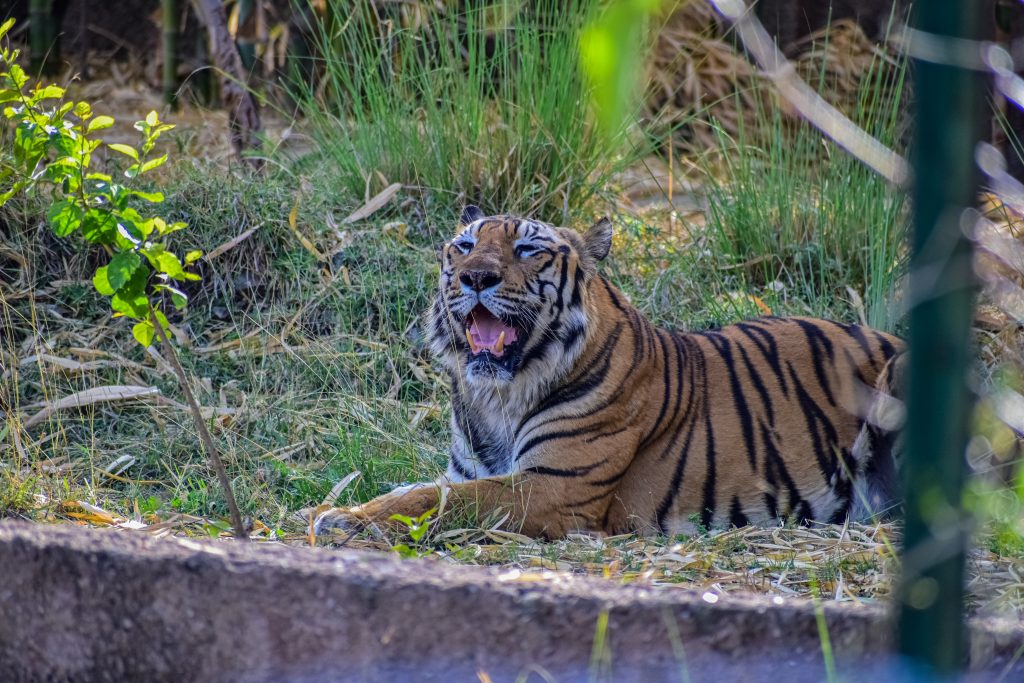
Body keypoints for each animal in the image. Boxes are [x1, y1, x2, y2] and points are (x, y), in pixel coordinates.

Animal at [315, 207, 906, 539]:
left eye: (526, 249)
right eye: (464, 245)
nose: (474, 276)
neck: (496, 398)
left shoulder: (551, 486)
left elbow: (441, 502)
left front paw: (345, 520)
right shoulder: (470, 470)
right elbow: (416, 489)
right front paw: (348, 508)